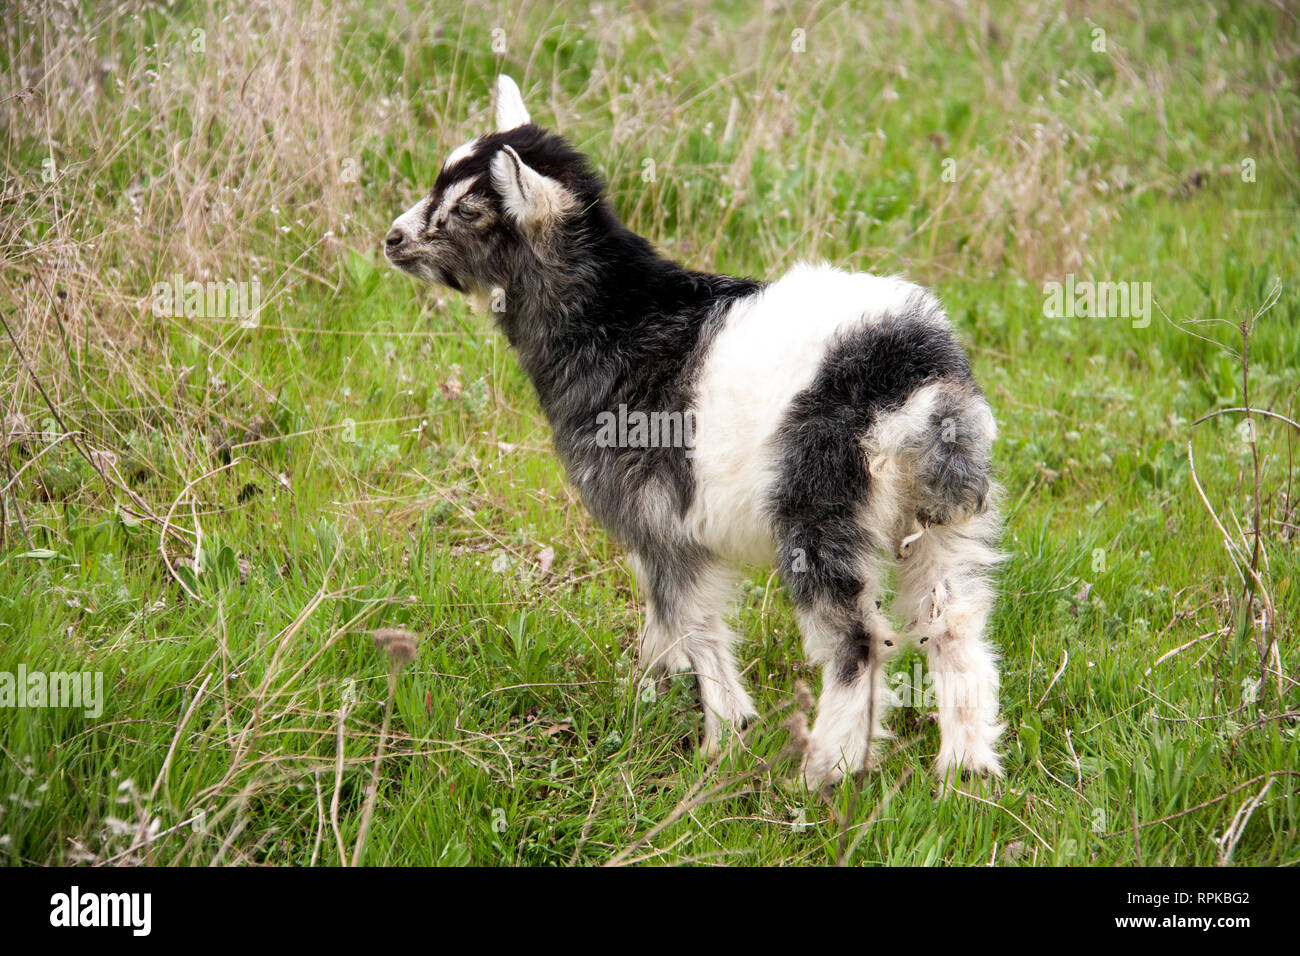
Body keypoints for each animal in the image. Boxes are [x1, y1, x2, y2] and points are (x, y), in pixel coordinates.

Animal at [385, 76, 1004, 787]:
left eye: (468, 209)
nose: (393, 240)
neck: (614, 323)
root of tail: (920, 386)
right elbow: (665, 620)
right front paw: (646, 693)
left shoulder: (660, 520)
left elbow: (693, 621)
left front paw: (720, 738)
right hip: (943, 517)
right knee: (953, 620)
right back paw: (965, 769)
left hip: (818, 509)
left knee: (857, 638)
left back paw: (826, 769)